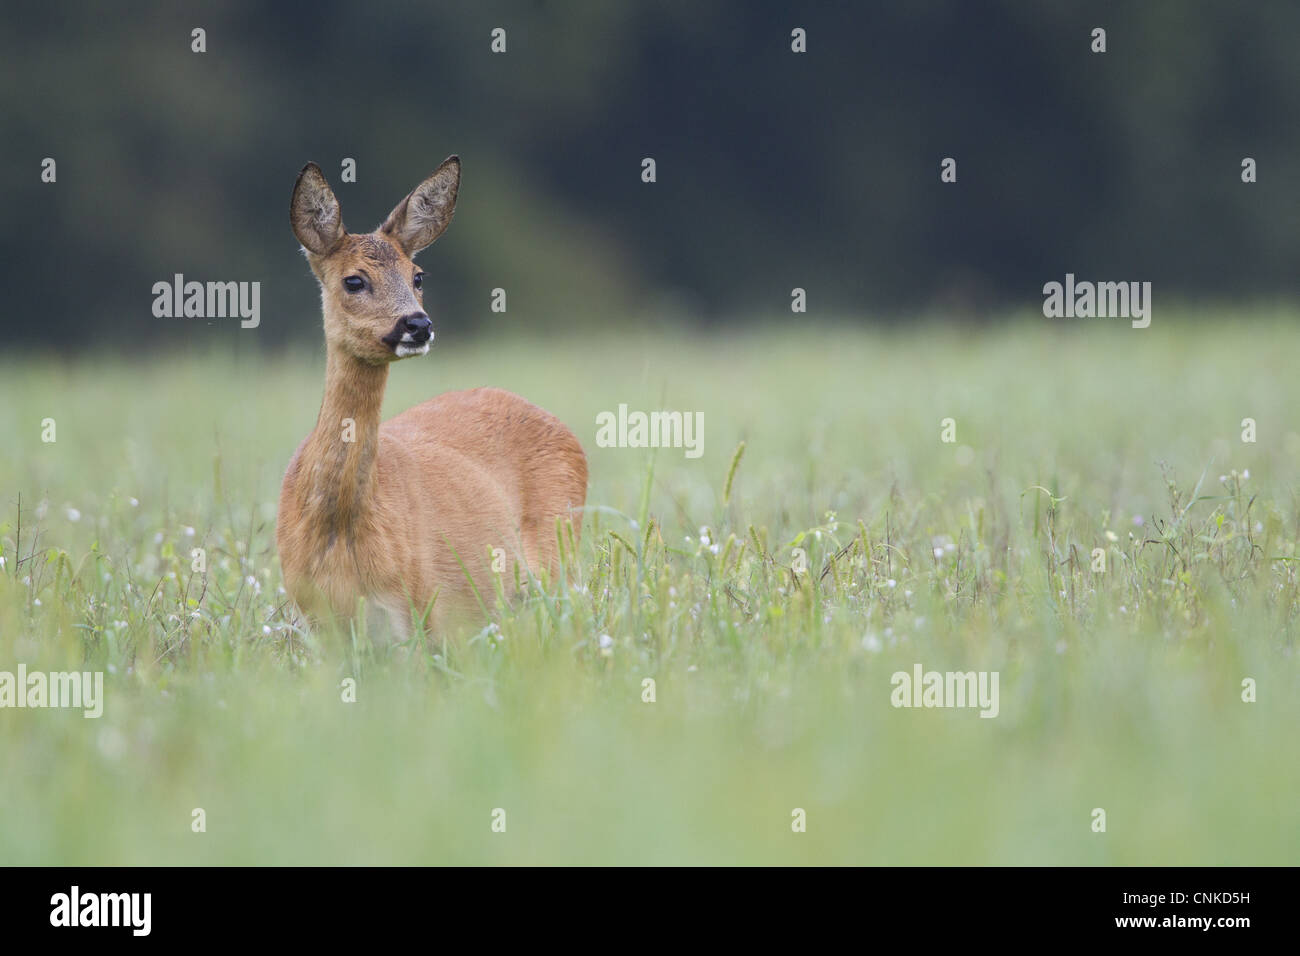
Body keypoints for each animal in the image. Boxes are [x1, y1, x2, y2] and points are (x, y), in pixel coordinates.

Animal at [276, 157, 587, 641]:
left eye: (417, 276)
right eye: (353, 280)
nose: (418, 324)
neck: (340, 527)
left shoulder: (421, 610)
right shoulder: (318, 621)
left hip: (558, 559)